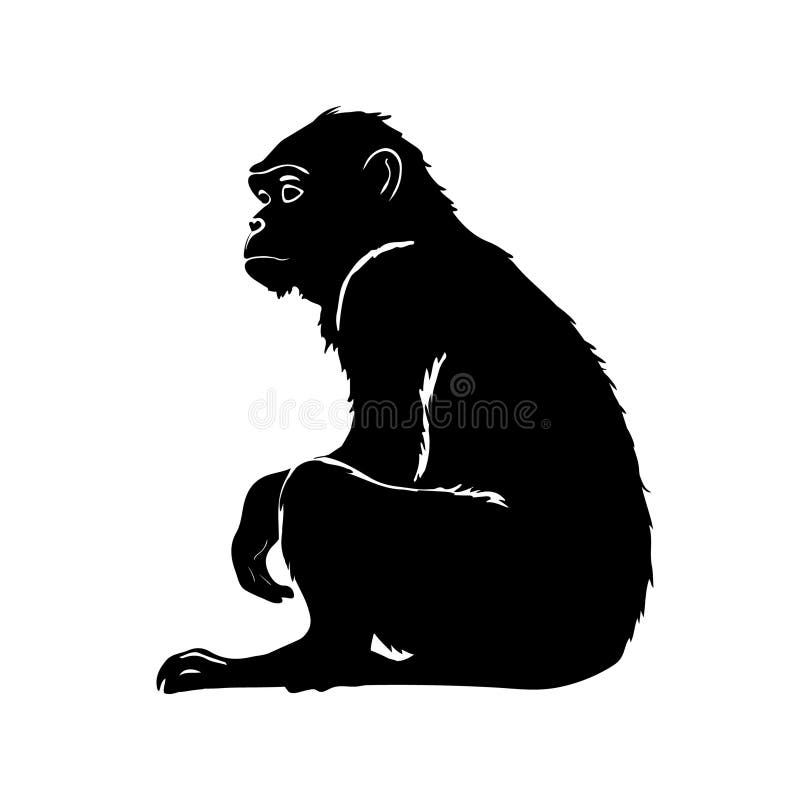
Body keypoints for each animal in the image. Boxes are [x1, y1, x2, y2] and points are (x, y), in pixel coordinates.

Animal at [157, 109, 652, 693]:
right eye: (262, 194)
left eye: (290, 192)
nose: (256, 222)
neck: (394, 231)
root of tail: (607, 642)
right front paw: (259, 500)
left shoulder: (384, 291)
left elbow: (382, 449)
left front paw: (267, 500)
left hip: (489, 579)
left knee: (319, 489)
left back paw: (309, 660)